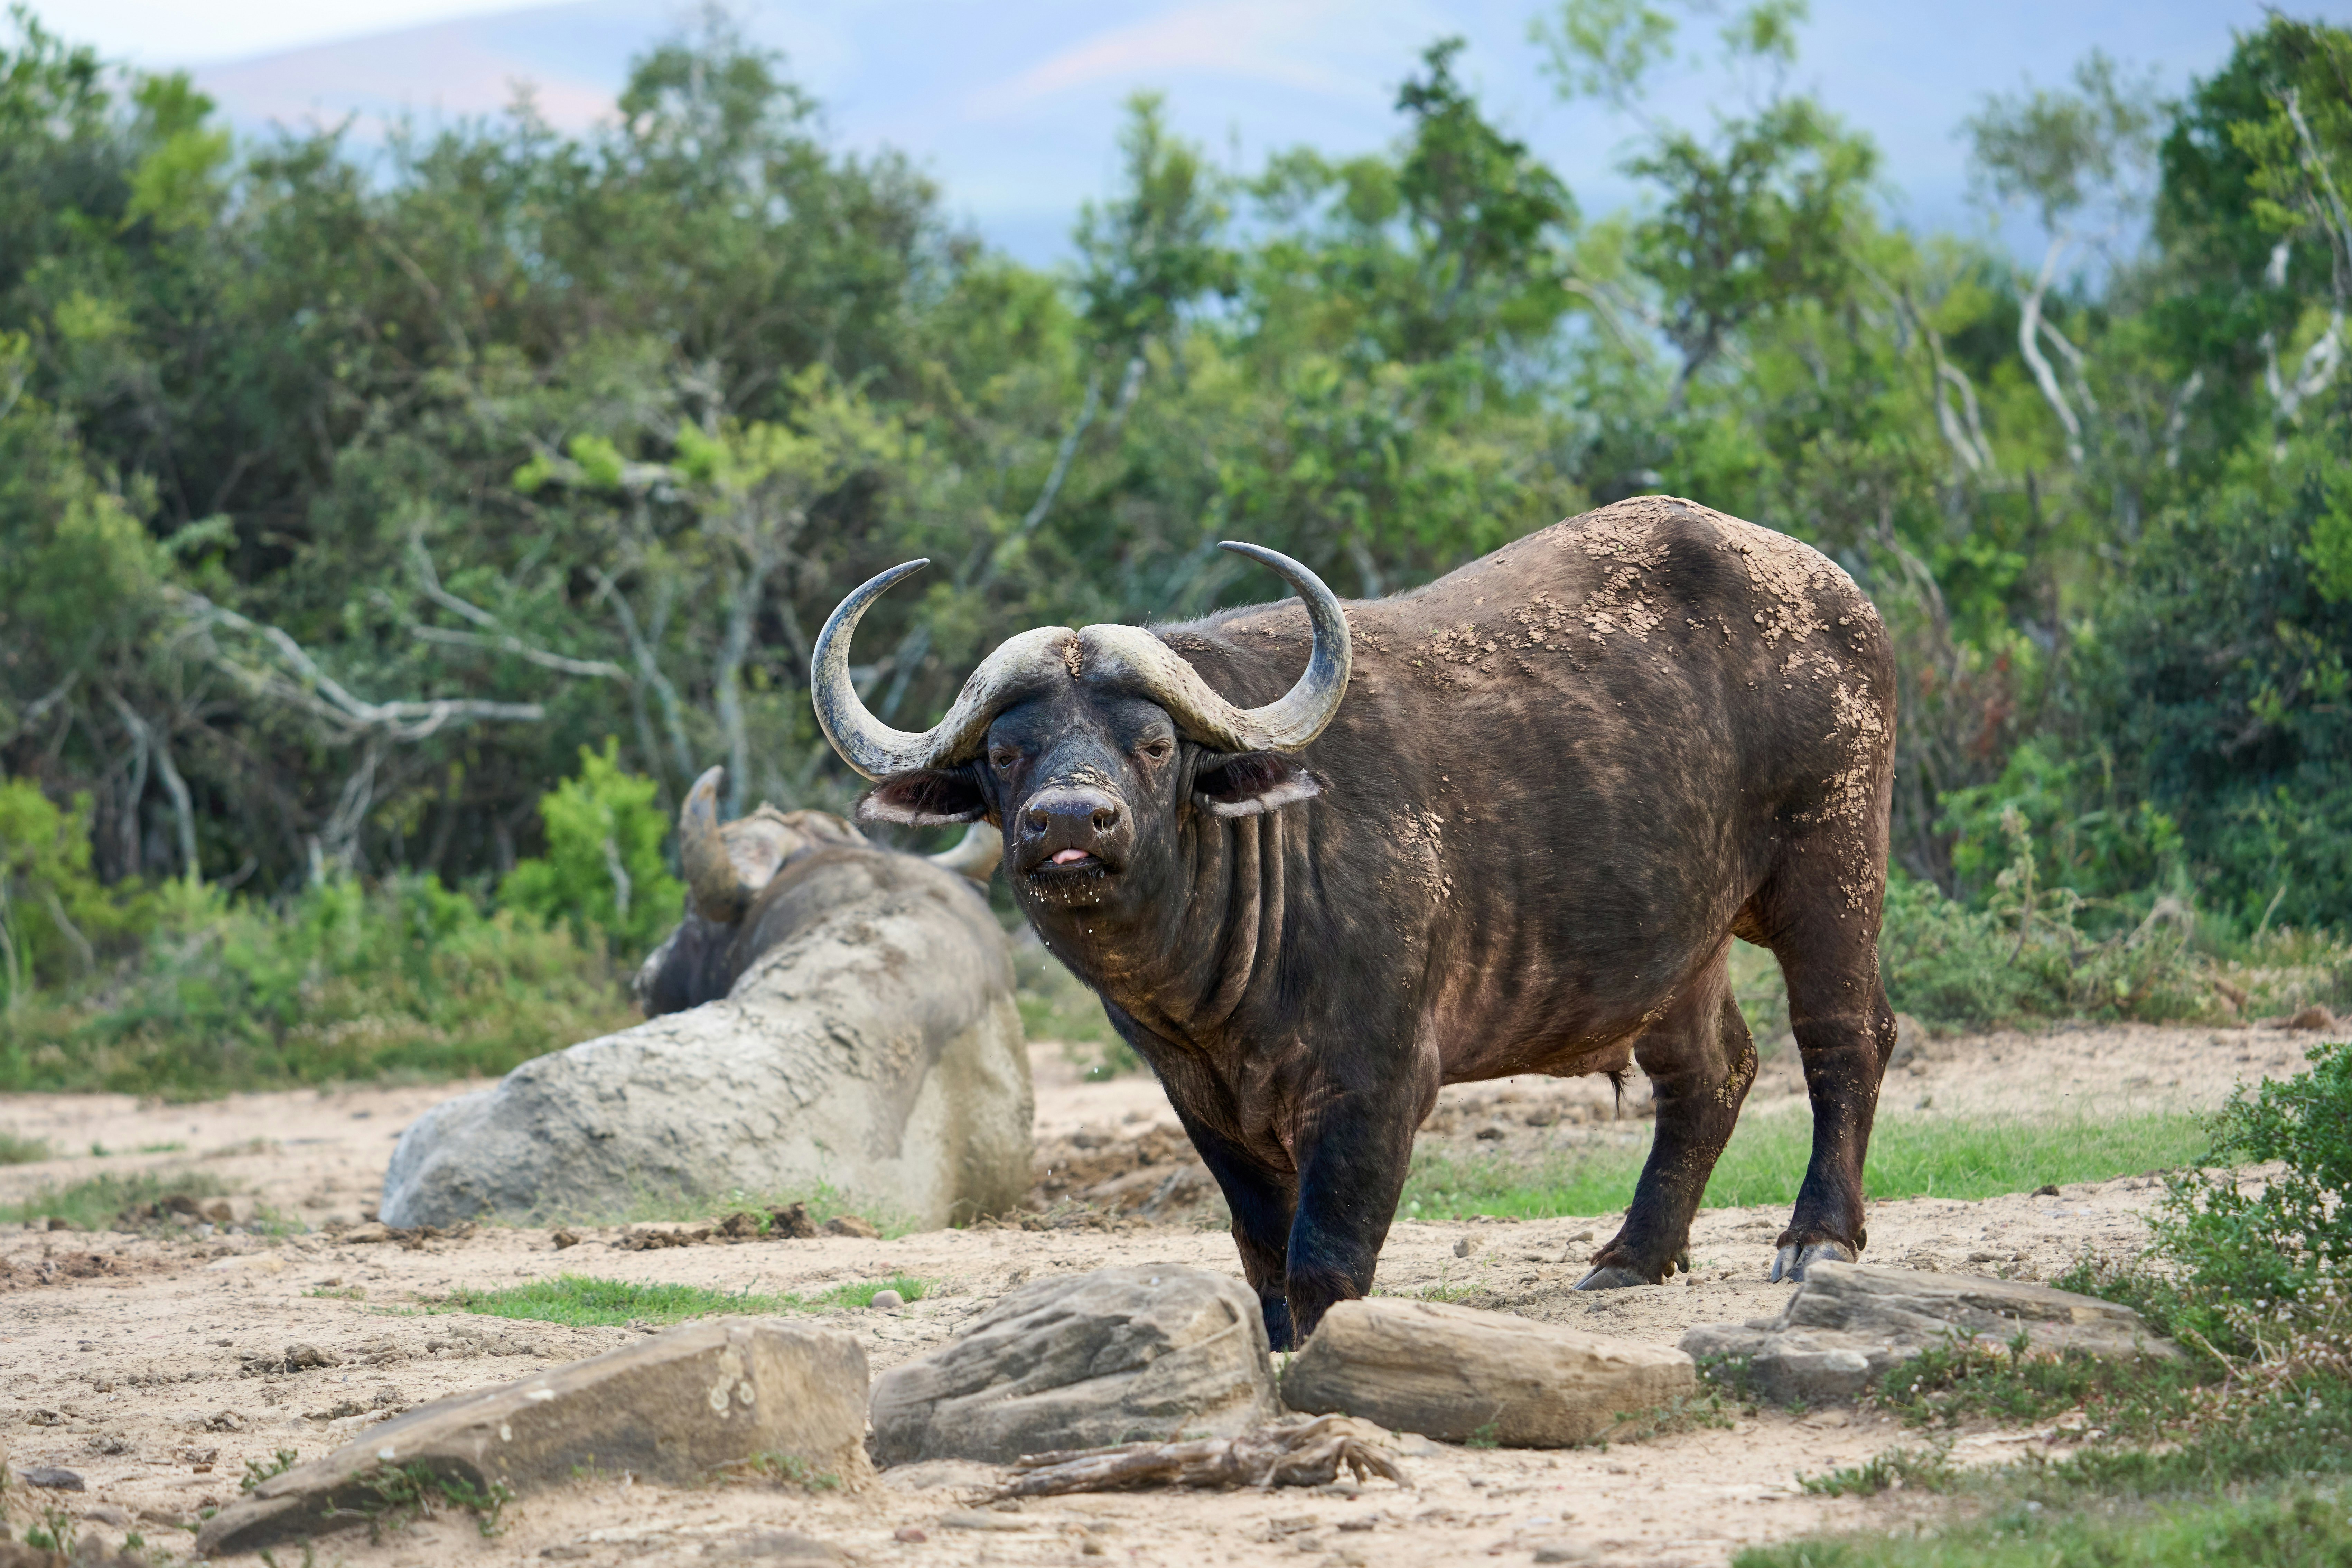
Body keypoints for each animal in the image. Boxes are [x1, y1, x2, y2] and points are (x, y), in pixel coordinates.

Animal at [809, 495, 1898, 1348]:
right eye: (1006, 753)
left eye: (1153, 744)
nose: (1072, 821)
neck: (1213, 980)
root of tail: (1835, 594)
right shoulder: (1198, 1101)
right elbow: (1261, 1242)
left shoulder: (1376, 1084)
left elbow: (1328, 1248)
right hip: (1679, 949)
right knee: (1711, 1073)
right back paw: (1633, 1255)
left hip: (1834, 866)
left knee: (1845, 1037)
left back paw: (1816, 1239)